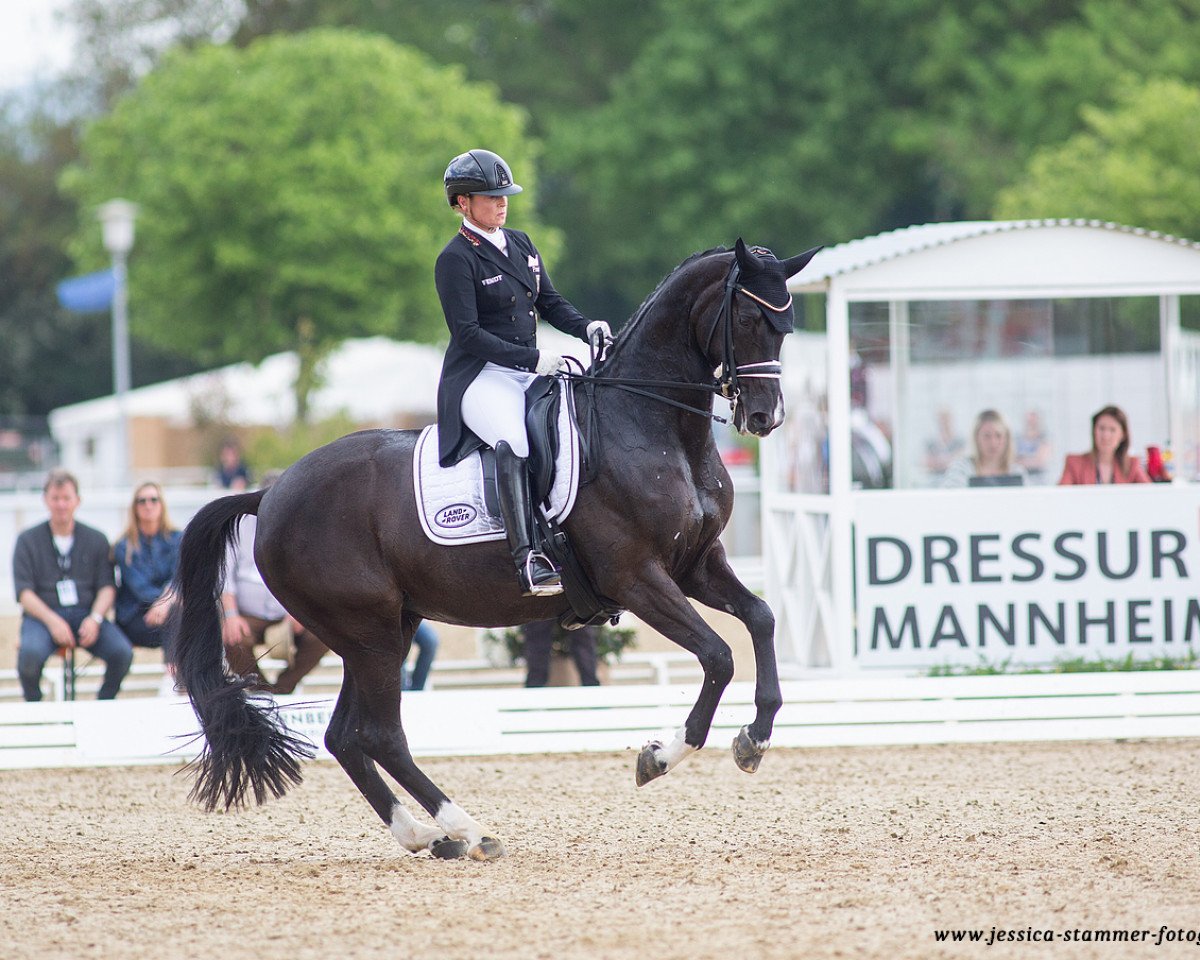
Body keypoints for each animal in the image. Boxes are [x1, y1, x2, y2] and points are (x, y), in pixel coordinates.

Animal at [171, 238, 820, 861]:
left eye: (786, 326)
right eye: (747, 317)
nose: (764, 417)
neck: (653, 426)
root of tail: (272, 492)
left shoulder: (696, 564)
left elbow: (761, 618)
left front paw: (754, 738)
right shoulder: (637, 576)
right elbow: (718, 655)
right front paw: (659, 756)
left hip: (384, 629)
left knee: (345, 736)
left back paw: (424, 835)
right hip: (366, 631)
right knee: (380, 734)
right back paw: (468, 829)